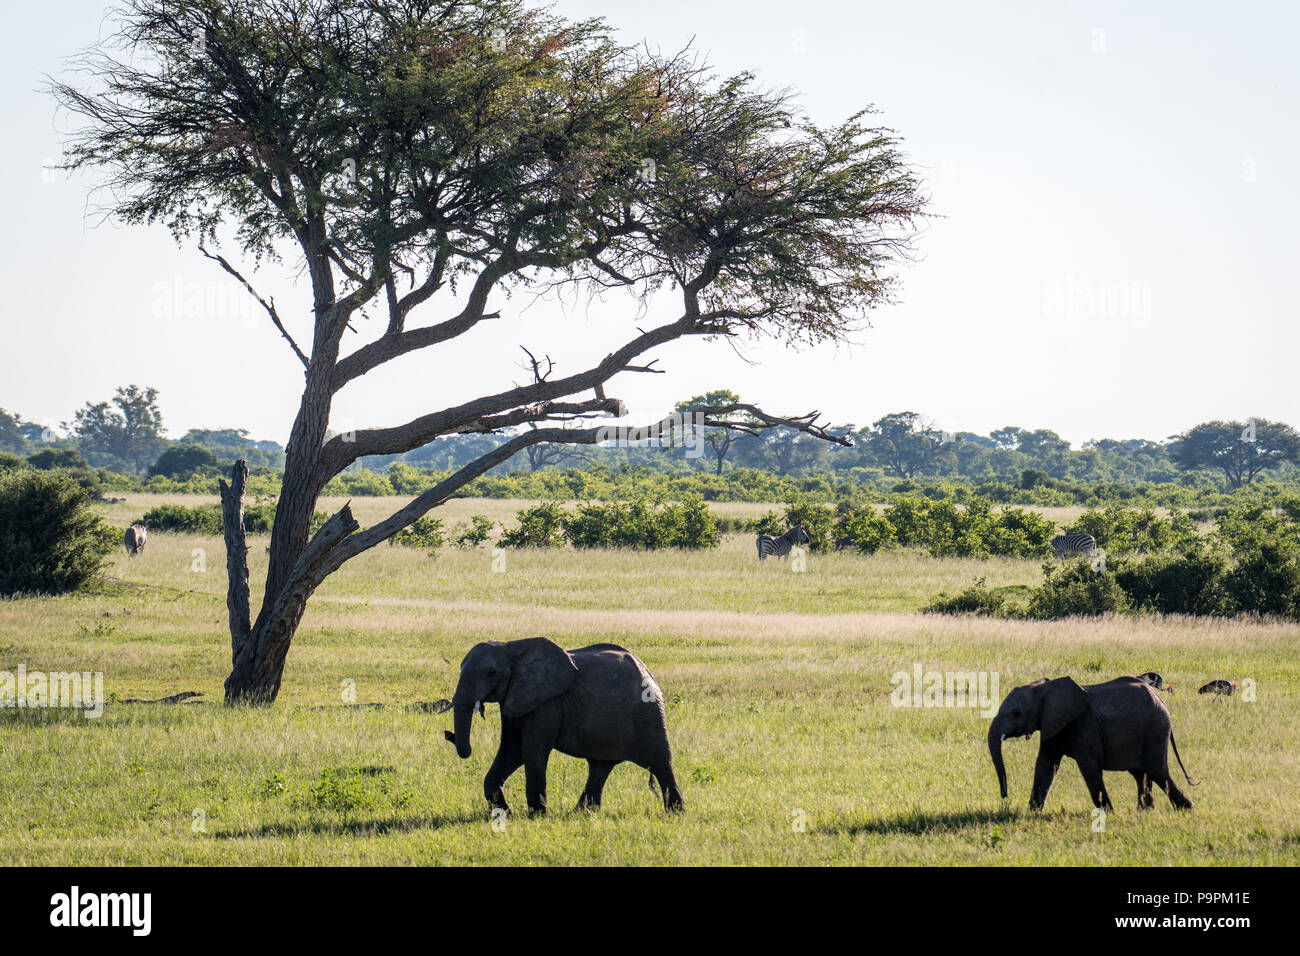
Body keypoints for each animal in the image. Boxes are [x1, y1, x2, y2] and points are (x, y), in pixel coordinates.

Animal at [443, 637, 685, 815]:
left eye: (490, 673)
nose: (448, 735)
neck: (512, 648)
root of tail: (646, 669)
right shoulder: (516, 699)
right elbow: (512, 750)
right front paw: (505, 813)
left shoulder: (547, 703)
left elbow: (532, 751)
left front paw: (537, 816)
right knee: (600, 767)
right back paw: (582, 814)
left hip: (648, 713)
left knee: (660, 763)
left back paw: (675, 813)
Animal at [987, 676, 1196, 812]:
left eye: (1016, 713)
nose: (1004, 796)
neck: (1045, 687)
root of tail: (1161, 699)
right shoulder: (1052, 723)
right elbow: (1046, 765)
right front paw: (1033, 812)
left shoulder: (1084, 725)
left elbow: (1088, 766)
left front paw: (1108, 812)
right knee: (1141, 773)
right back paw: (1145, 810)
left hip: (1155, 728)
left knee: (1157, 771)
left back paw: (1187, 808)